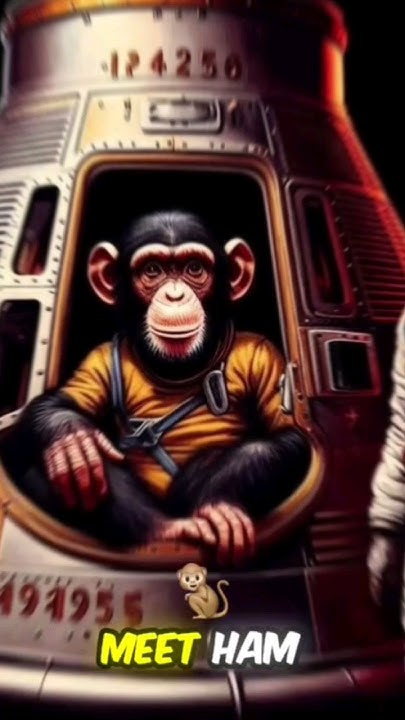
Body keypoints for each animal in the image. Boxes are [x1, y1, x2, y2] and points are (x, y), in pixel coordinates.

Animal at [2, 210, 312, 567]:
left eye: (194, 268)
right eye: (152, 270)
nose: (174, 296)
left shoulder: (264, 354)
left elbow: (286, 435)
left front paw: (214, 498)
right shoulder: (98, 359)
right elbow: (57, 404)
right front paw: (71, 440)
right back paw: (165, 529)